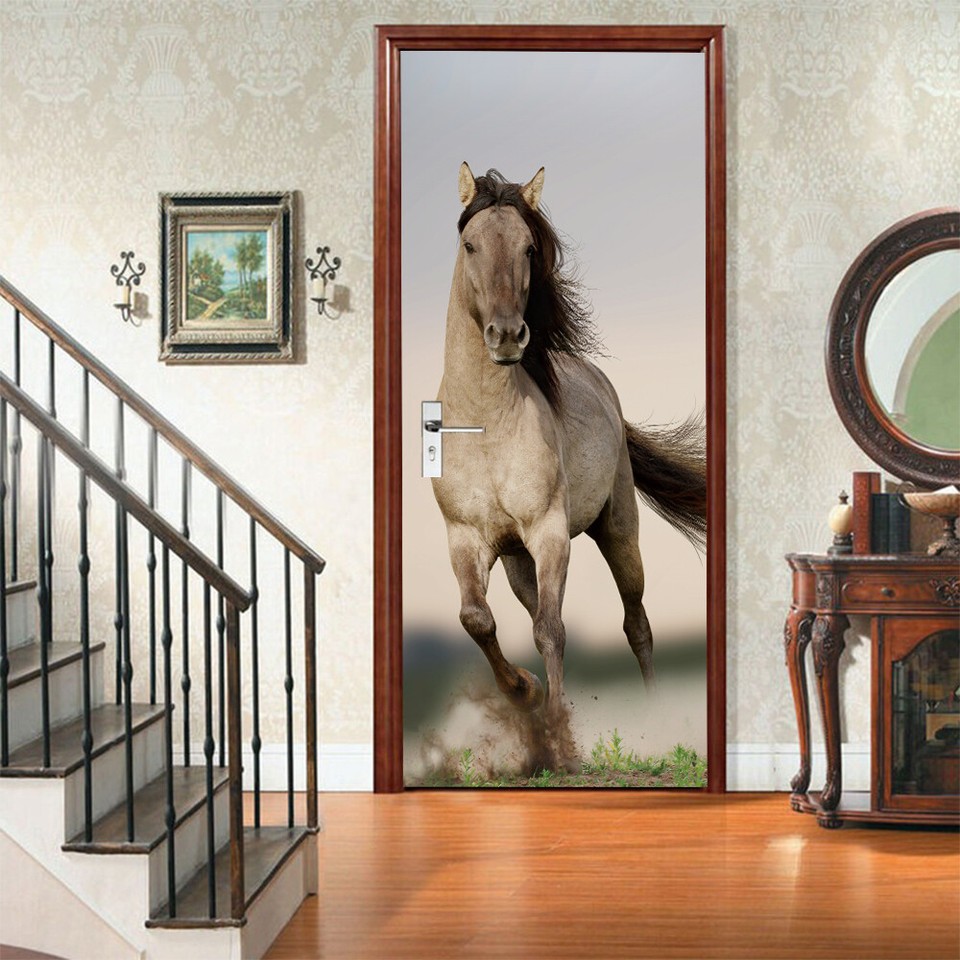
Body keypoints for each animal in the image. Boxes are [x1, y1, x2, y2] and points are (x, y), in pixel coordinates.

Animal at [431, 163, 706, 768]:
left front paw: (561, 743)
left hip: (618, 530)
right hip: (517, 563)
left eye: (529, 248)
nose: (508, 336)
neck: (485, 426)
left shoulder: (550, 533)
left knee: (636, 624)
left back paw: (657, 723)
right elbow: (477, 619)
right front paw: (526, 693)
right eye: (469, 245)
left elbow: (552, 630)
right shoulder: (466, 537)